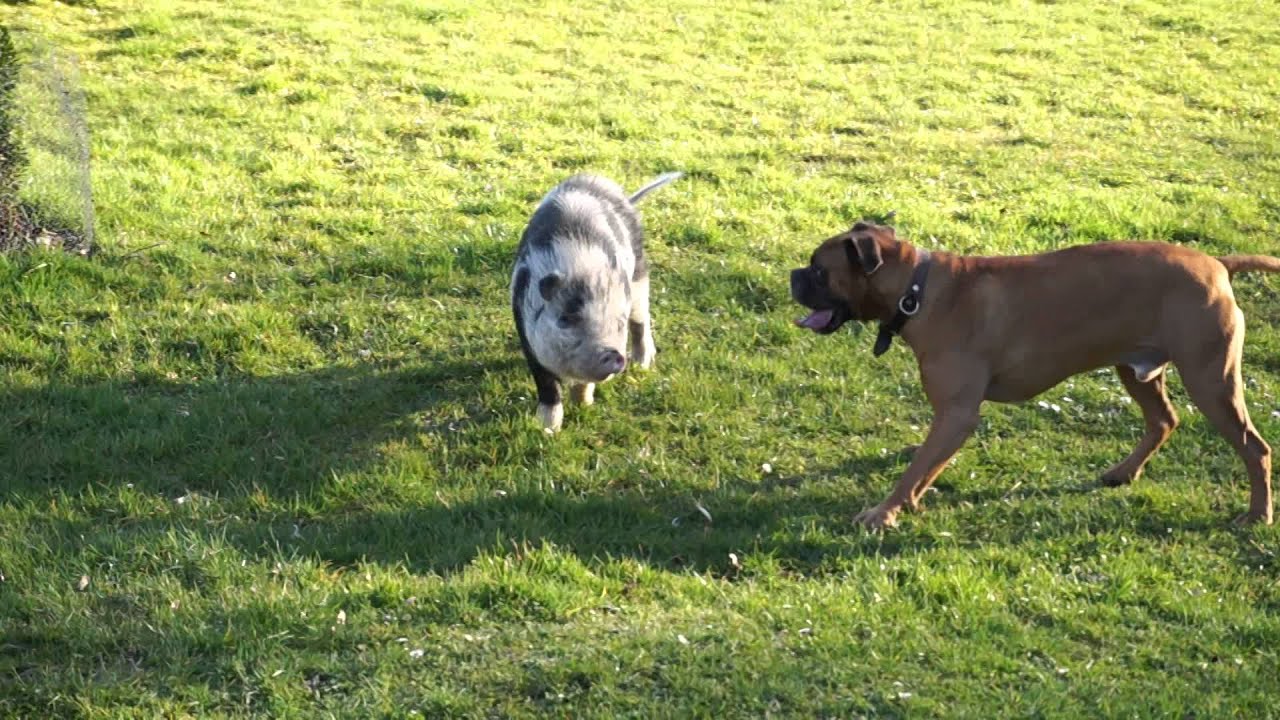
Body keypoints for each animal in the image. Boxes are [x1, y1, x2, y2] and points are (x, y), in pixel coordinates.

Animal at [511, 171, 682, 432]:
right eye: (566, 318)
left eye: (618, 324)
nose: (611, 354)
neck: (582, 268)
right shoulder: (525, 329)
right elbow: (546, 383)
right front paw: (547, 430)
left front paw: (583, 405)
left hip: (639, 275)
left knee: (641, 321)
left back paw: (642, 365)